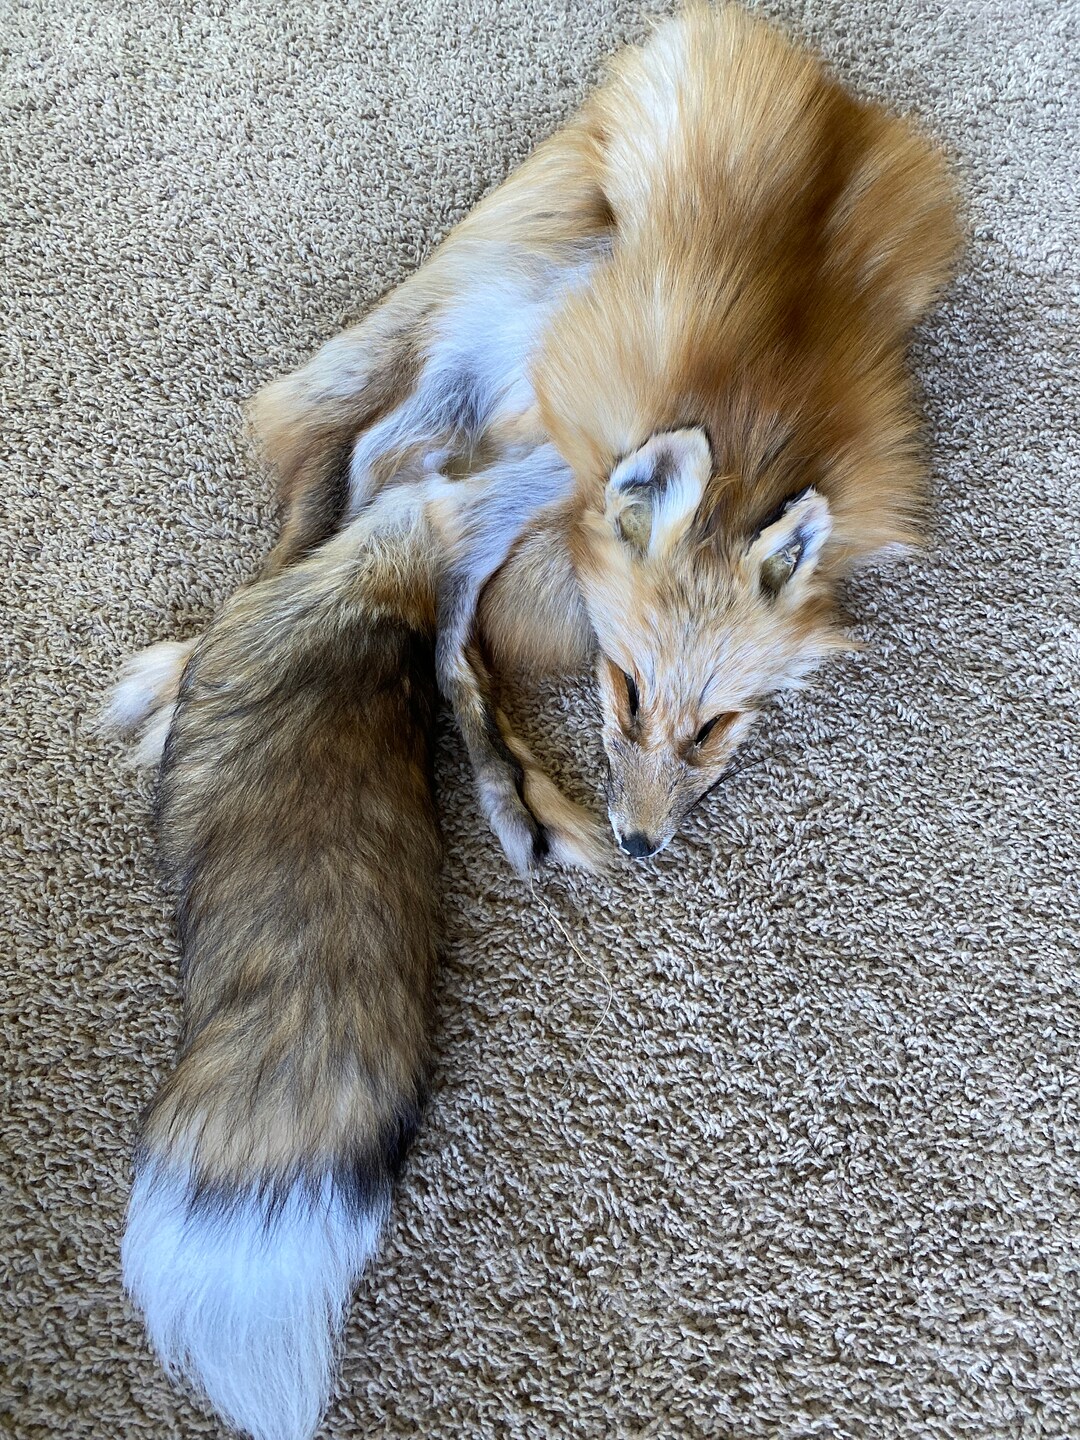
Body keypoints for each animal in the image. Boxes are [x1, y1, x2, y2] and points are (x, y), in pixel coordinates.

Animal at [107, 8, 960, 1440]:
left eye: (717, 727)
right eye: (623, 697)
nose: (649, 845)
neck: (752, 420)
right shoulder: (569, 434)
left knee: (392, 530)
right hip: (498, 339)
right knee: (383, 497)